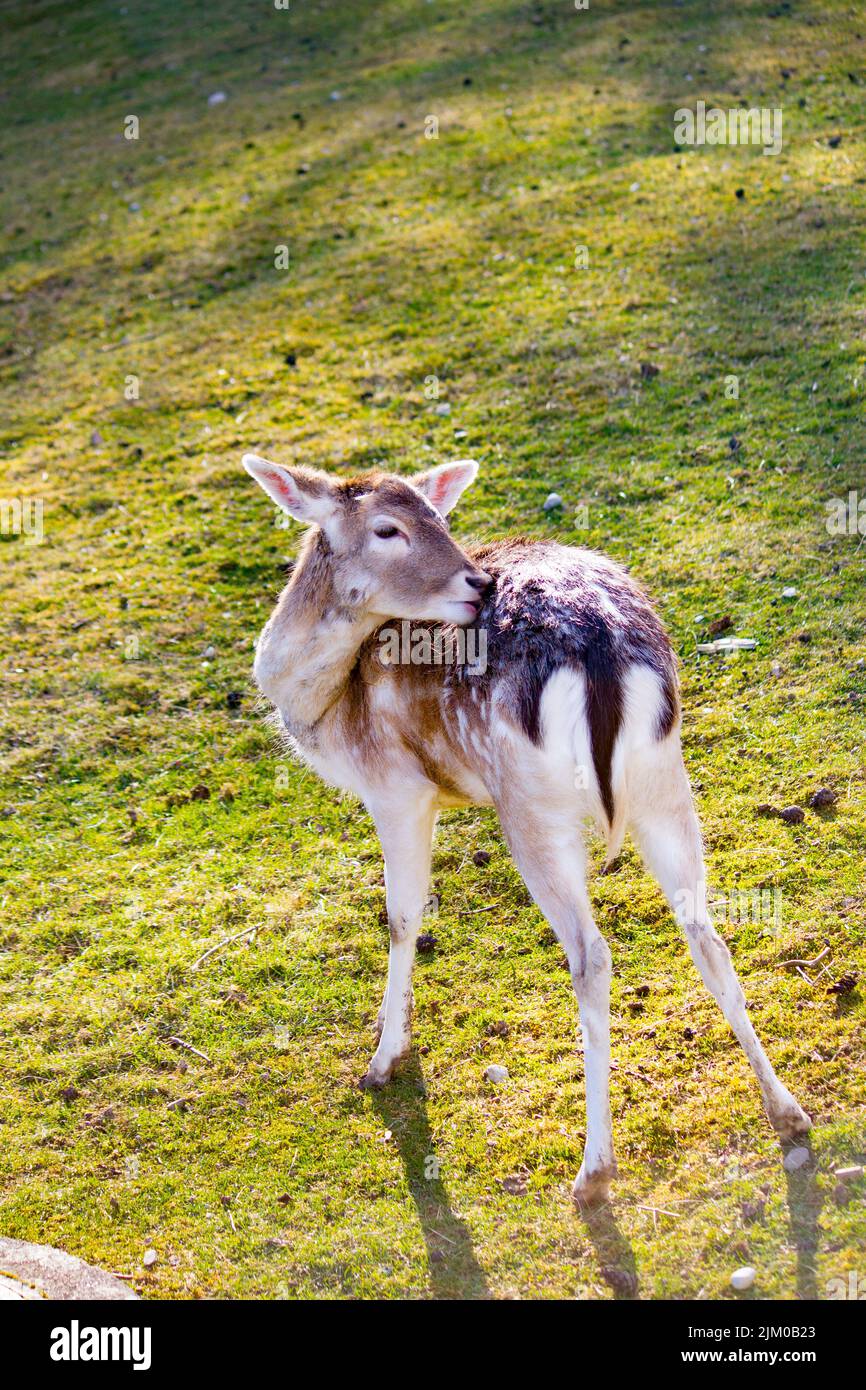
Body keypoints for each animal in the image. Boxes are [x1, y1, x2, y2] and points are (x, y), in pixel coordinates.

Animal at [242, 451, 811, 1204]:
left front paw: (383, 1057)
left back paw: (593, 1171)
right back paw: (788, 1111)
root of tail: (601, 655)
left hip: (531, 807)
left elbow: (400, 917)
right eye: (389, 527)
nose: (475, 581)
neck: (324, 707)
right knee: (706, 932)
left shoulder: (396, 789)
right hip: (664, 778)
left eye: (437, 517)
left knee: (592, 955)